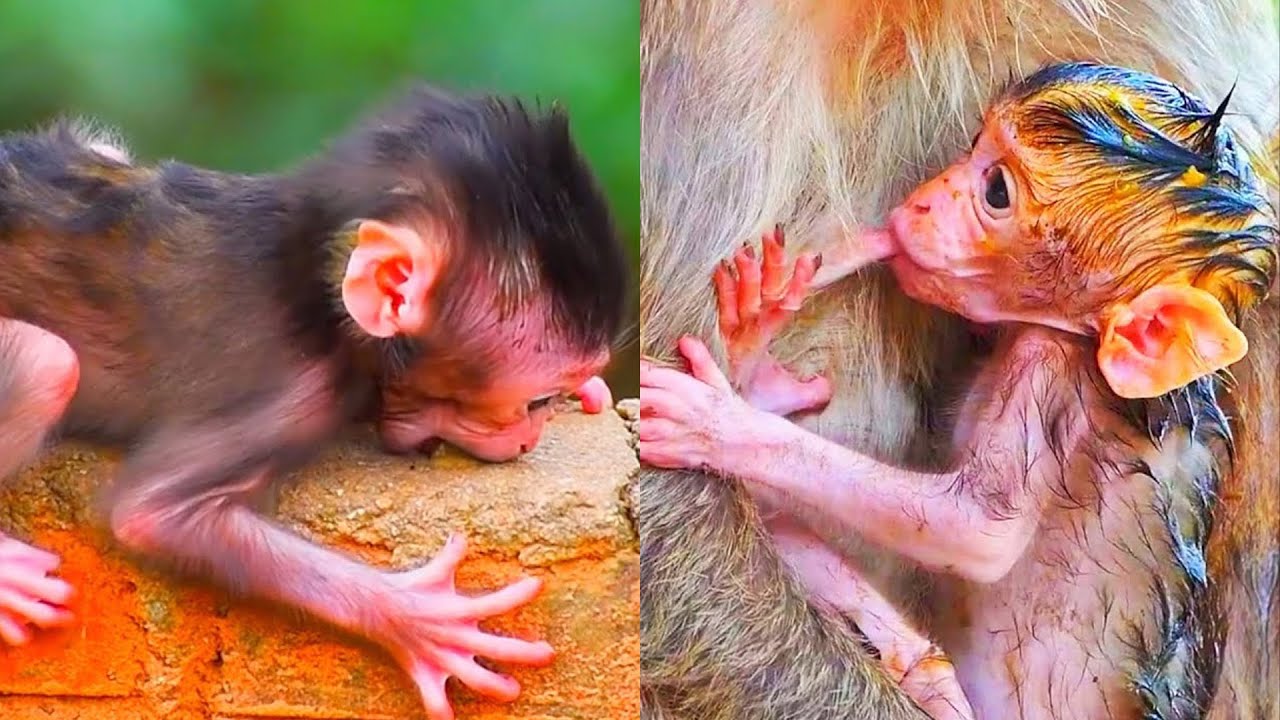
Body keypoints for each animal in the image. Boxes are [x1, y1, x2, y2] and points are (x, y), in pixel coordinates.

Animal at [0, 85, 628, 720]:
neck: (315, 268)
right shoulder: (302, 389)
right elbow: (152, 515)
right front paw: (415, 618)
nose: (528, 439)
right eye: (534, 401)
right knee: (47, 362)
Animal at [637, 1, 1279, 719]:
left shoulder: (1044, 377)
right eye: (974, 148)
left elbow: (976, 527)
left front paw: (715, 420)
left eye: (995, 190)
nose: (920, 203)